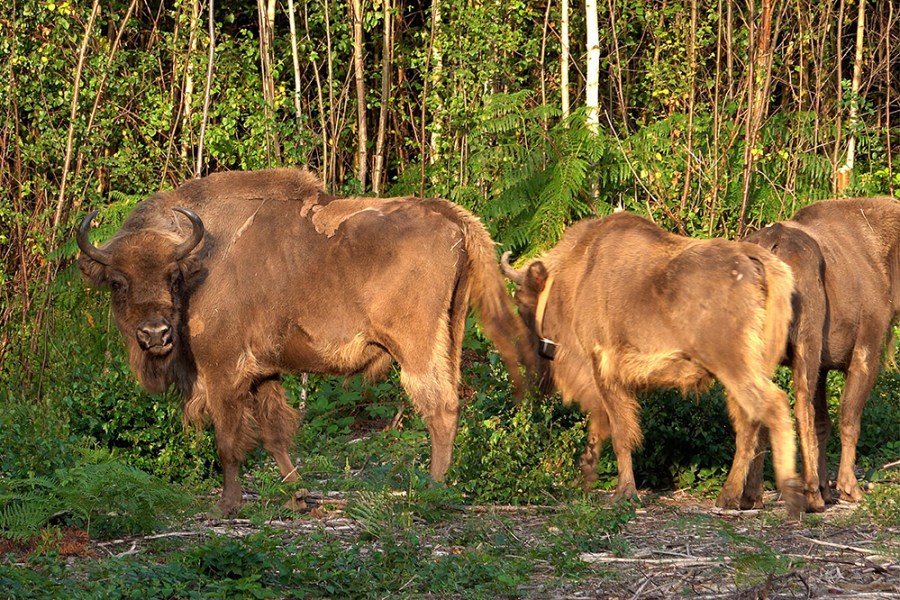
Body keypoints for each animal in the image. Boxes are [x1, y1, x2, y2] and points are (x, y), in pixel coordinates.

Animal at [78, 168, 531, 515]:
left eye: (173, 276)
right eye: (117, 282)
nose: (154, 334)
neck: (199, 260)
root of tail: (450, 215)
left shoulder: (223, 370)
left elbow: (228, 441)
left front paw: (227, 506)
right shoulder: (263, 373)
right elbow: (275, 434)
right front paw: (296, 496)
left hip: (416, 348)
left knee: (440, 408)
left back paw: (430, 492)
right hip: (450, 334)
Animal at [502, 212, 805, 517]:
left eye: (522, 301)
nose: (533, 359)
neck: (580, 272)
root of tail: (753, 259)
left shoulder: (603, 367)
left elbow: (620, 433)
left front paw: (624, 494)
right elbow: (603, 426)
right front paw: (587, 477)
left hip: (733, 366)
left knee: (773, 406)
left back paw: (787, 495)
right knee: (750, 425)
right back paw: (732, 497)